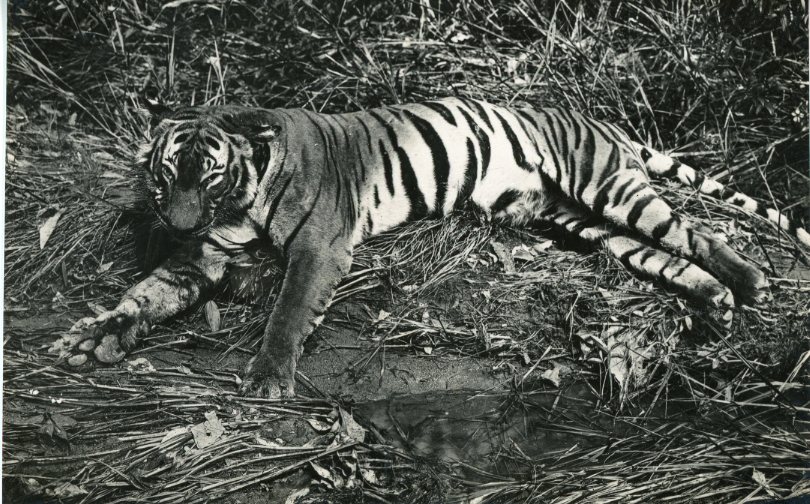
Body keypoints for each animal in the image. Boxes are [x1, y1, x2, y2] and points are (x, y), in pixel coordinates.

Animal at [56, 97, 810, 398]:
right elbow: (142, 295)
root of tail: (596, 119)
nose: (179, 220)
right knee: (668, 255)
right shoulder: (201, 257)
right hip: (585, 224)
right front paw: (92, 337)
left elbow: (288, 313)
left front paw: (268, 379)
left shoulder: (320, 247)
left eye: (208, 174)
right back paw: (716, 303)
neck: (240, 198)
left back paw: (749, 284)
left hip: (605, 187)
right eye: (165, 174)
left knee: (697, 230)